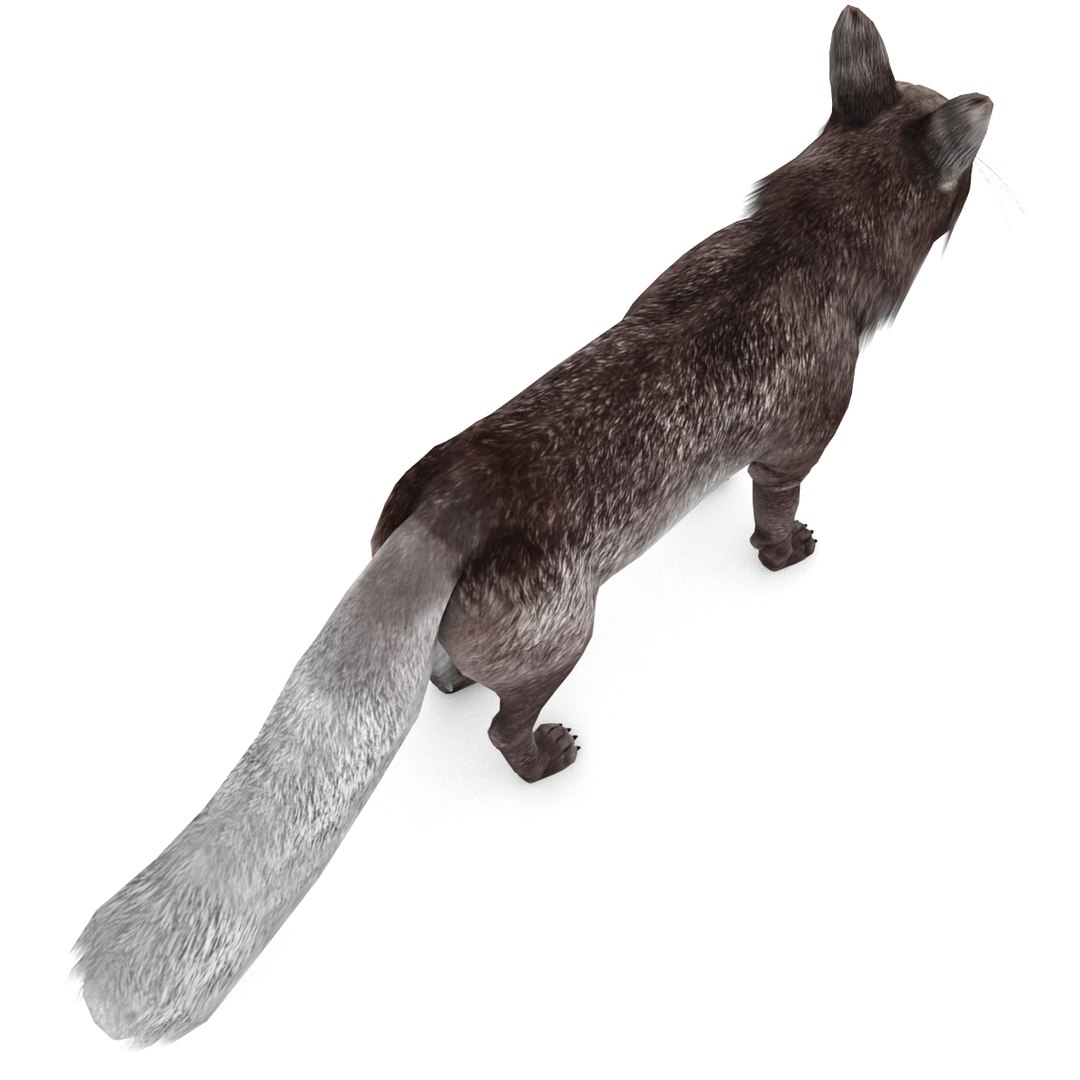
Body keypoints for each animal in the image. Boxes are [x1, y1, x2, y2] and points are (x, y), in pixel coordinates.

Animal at [75, 6, 992, 1044]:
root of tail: (446, 509)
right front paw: (786, 554)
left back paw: (450, 682)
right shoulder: (796, 447)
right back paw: (545, 759)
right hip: (566, 637)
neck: (793, 245)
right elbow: (775, 513)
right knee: (501, 730)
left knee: (447, 671)